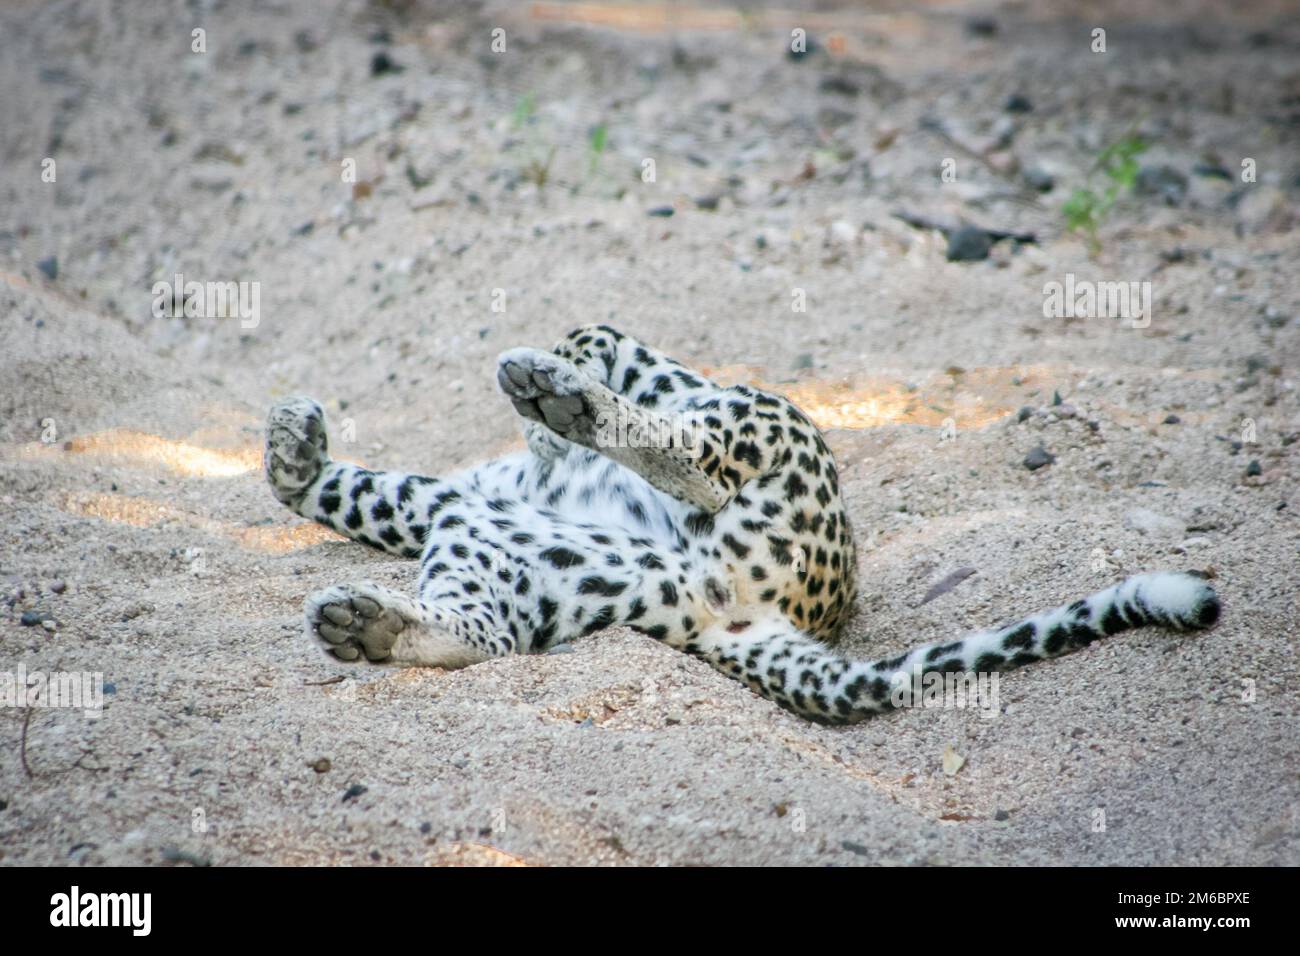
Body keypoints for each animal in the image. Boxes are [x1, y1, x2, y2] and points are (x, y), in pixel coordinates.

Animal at [263, 324, 1222, 724]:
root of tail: (752, 606)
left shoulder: (449, 500)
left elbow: (605, 340)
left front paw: (292, 444)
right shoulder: (448, 503)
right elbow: (364, 491)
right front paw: (293, 447)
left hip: (750, 443)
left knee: (696, 448)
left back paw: (562, 397)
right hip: (541, 556)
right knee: (492, 632)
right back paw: (370, 624)